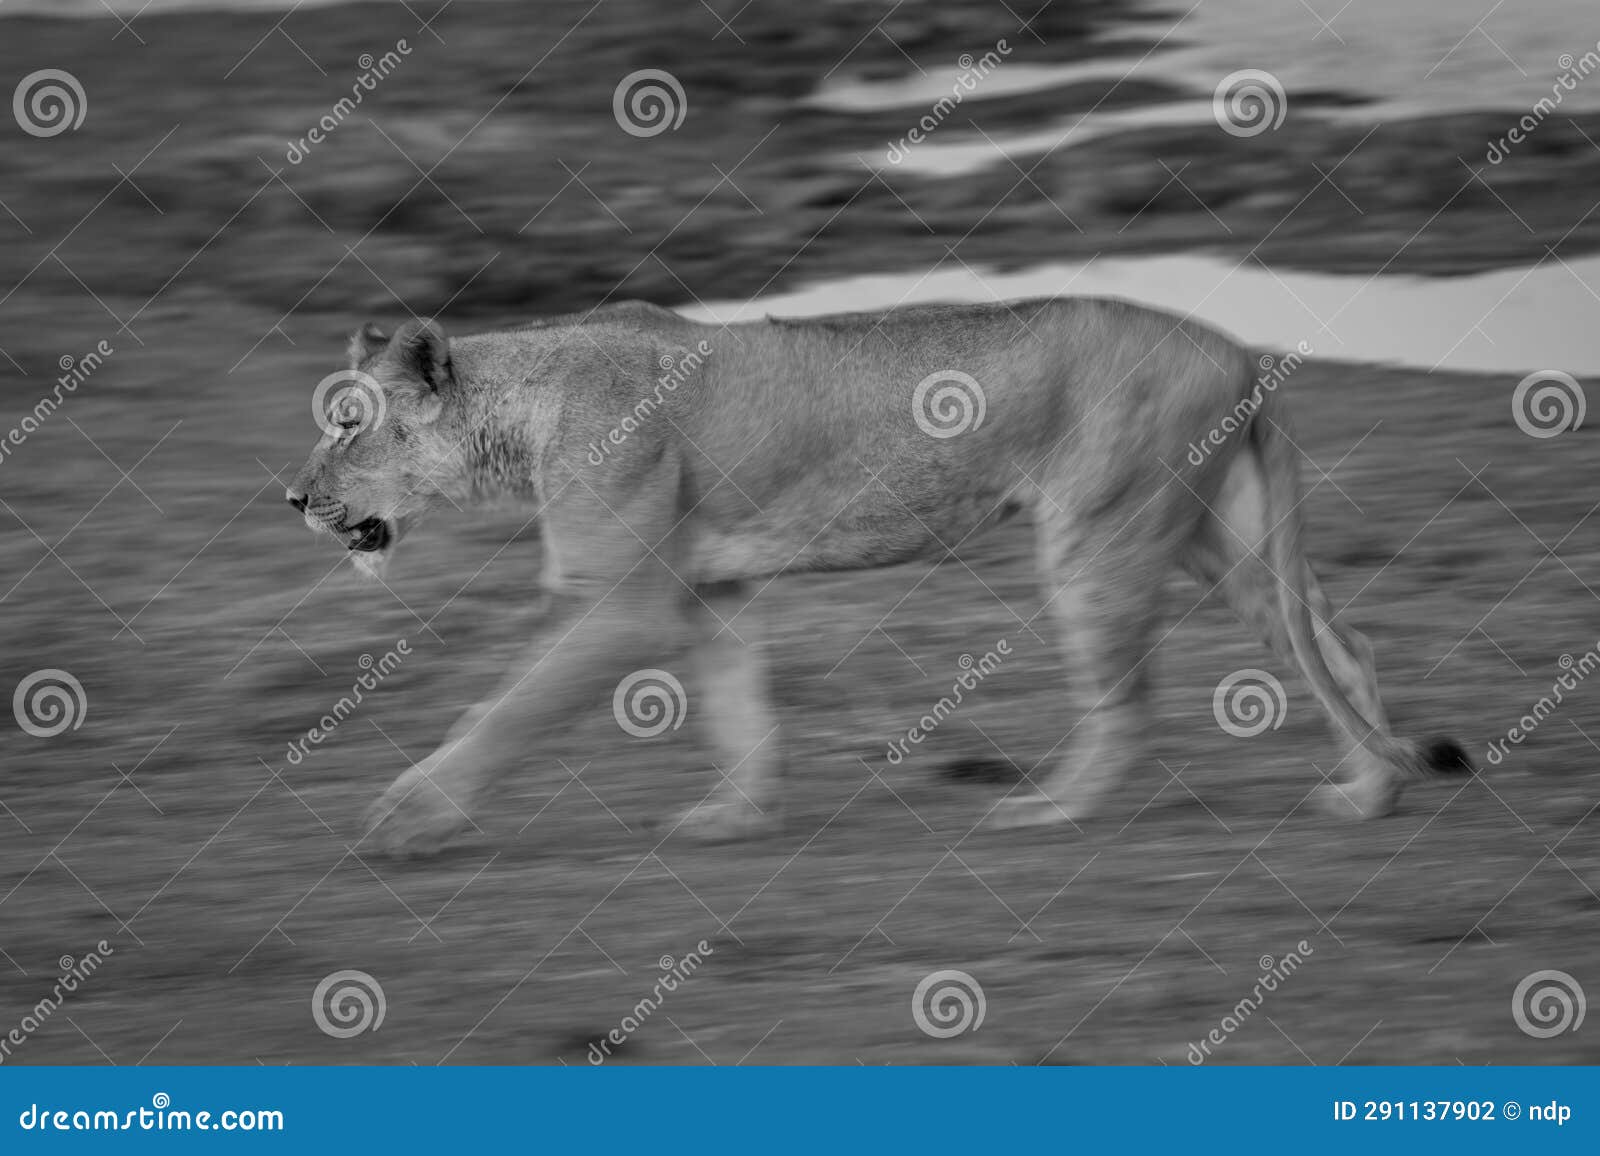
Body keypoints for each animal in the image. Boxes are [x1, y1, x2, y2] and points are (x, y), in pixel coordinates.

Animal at [286, 298, 1469, 855]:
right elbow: (739, 708)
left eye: (347, 426)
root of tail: (1237, 350)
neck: (521, 414)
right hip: (1219, 541)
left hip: (1099, 533)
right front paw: (738, 816)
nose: (292, 498)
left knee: (1130, 703)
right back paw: (1371, 790)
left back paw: (1049, 811)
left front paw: (407, 815)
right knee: (1340, 645)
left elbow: (506, 709)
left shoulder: (625, 604)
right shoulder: (707, 590)